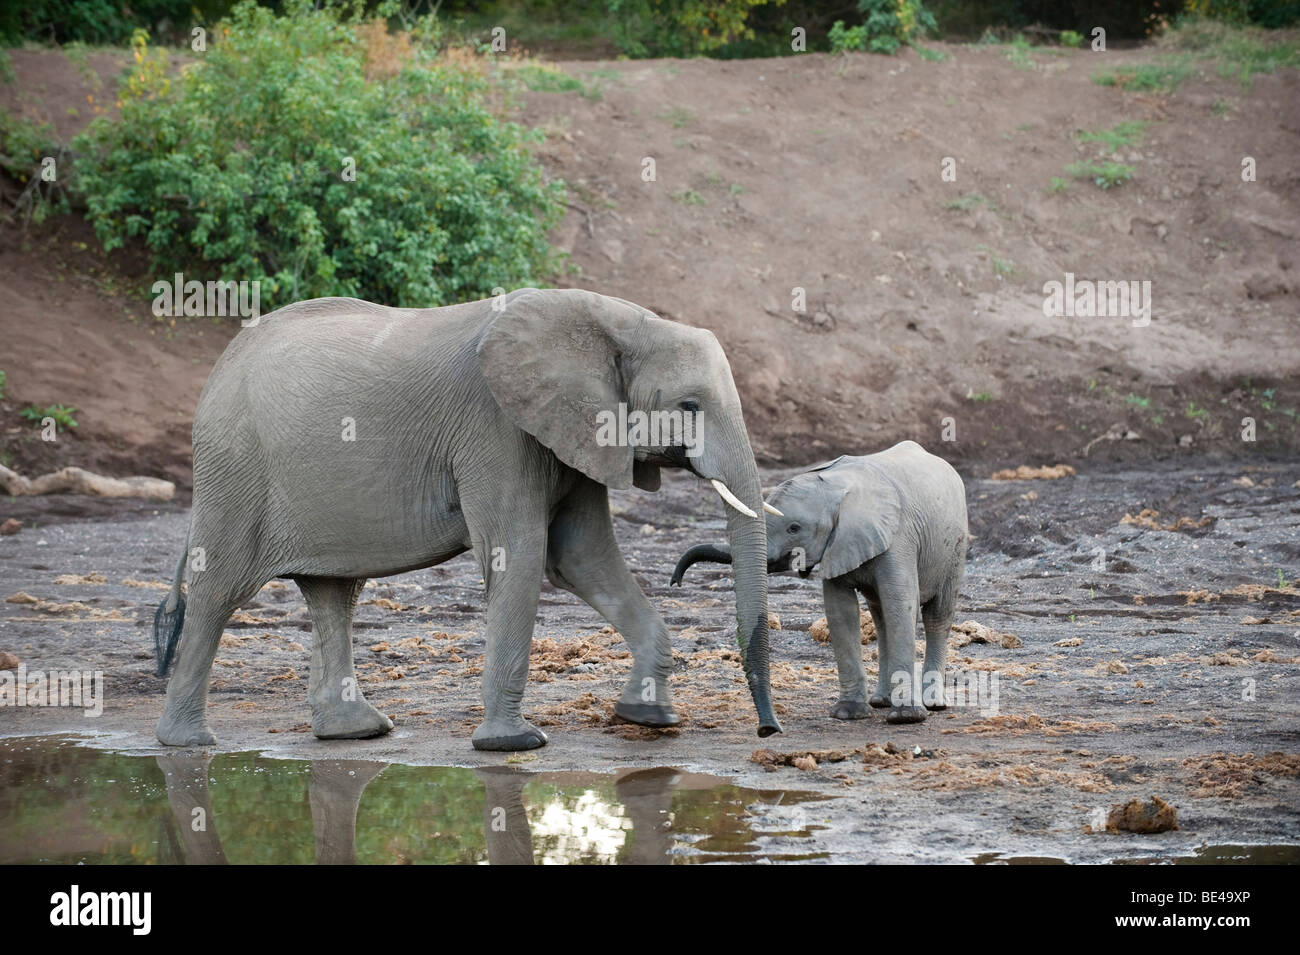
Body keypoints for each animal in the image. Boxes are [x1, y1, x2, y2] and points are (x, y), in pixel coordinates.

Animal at [151, 287, 781, 751]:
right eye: (689, 407)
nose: (767, 731)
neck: (621, 321)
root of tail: (222, 365)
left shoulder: (573, 433)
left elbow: (580, 556)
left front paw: (648, 720)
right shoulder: (496, 428)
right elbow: (521, 554)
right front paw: (515, 744)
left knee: (333, 592)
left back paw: (355, 732)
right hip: (236, 465)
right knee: (220, 590)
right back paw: (187, 743)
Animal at [671, 440, 967, 725]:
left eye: (794, 528)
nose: (676, 581)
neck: (837, 488)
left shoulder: (899, 539)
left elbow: (901, 604)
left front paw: (906, 718)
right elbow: (840, 611)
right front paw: (848, 714)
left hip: (955, 547)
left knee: (937, 616)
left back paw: (933, 704)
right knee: (880, 616)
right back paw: (880, 702)